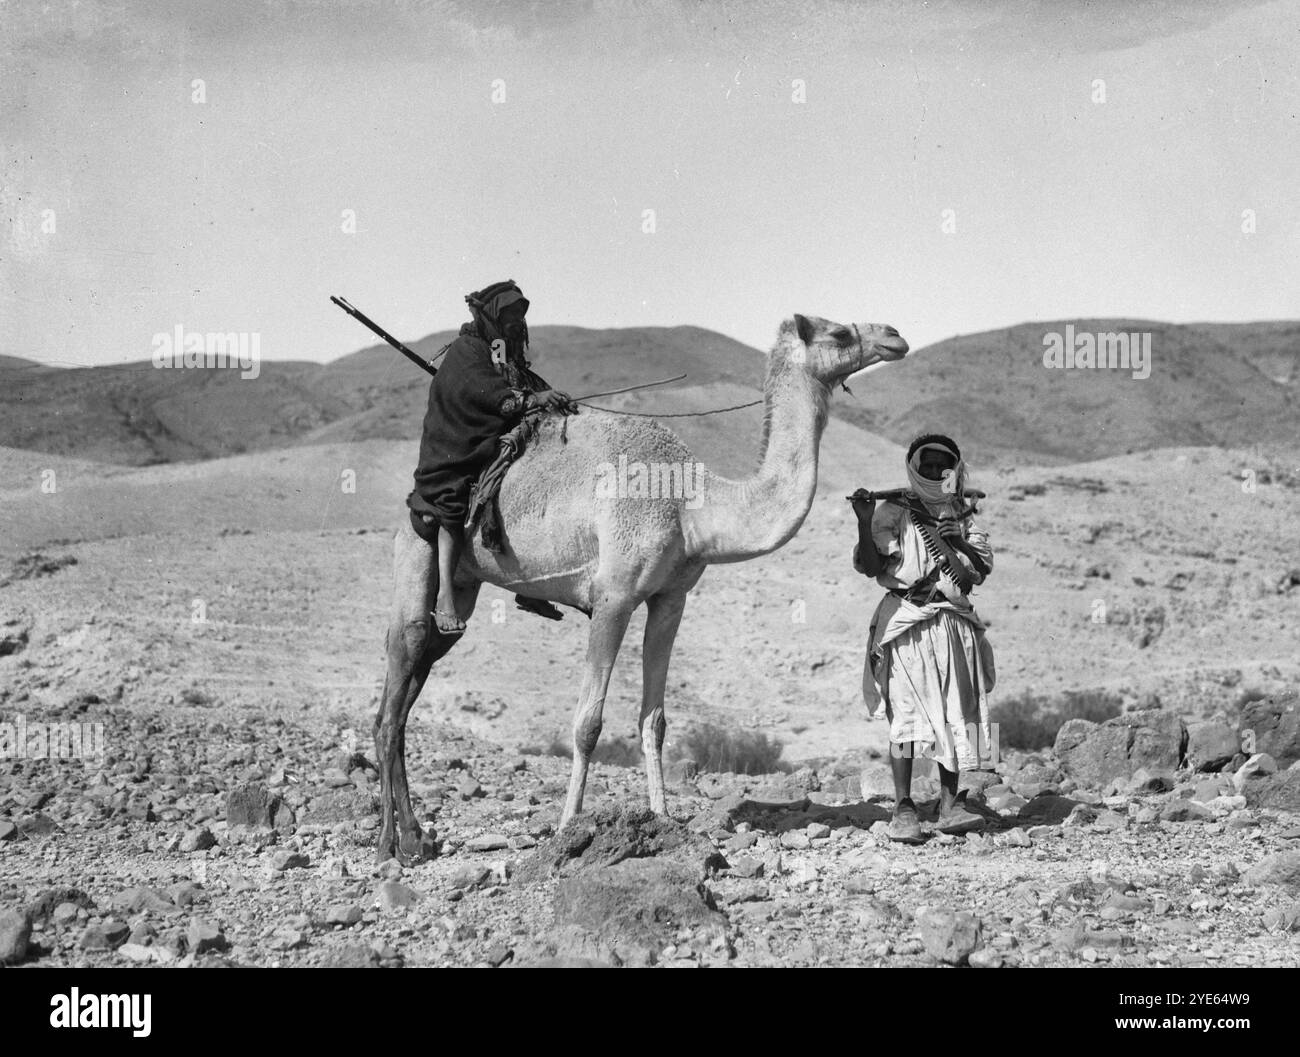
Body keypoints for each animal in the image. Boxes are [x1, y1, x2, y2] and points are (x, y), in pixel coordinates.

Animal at [373, 312, 909, 863]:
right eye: (839, 333)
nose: (894, 336)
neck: (693, 506)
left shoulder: (670, 598)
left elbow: (655, 720)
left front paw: (663, 820)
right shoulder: (613, 596)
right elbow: (587, 724)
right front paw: (569, 827)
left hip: (462, 588)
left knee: (408, 686)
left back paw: (412, 834)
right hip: (417, 554)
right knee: (395, 689)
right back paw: (393, 841)